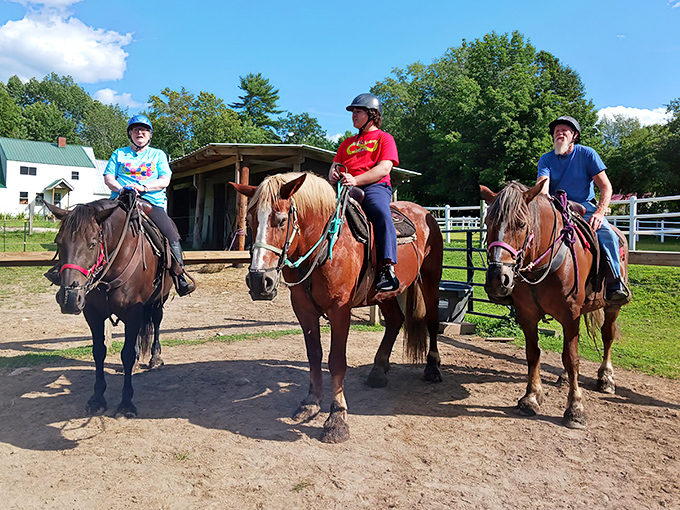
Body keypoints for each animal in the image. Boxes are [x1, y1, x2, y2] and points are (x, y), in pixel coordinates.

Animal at [46, 195, 174, 417]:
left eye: (92, 243)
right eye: (58, 242)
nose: (70, 298)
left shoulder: (133, 310)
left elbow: (127, 354)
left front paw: (126, 403)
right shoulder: (93, 313)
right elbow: (99, 351)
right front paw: (97, 398)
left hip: (160, 298)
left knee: (156, 322)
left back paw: (156, 357)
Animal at [231, 172, 443, 443]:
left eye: (281, 221)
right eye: (249, 221)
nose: (259, 281)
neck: (324, 248)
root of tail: (425, 213)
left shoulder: (340, 310)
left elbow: (336, 361)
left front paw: (337, 418)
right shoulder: (304, 310)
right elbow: (314, 355)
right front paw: (311, 403)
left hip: (431, 278)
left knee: (432, 320)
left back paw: (432, 368)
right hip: (384, 294)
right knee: (395, 321)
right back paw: (378, 369)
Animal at [480, 178, 630, 429]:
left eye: (521, 224)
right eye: (487, 223)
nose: (496, 279)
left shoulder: (571, 316)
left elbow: (572, 359)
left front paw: (575, 408)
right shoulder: (527, 316)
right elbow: (534, 353)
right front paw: (531, 397)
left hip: (612, 306)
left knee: (607, 336)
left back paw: (606, 378)